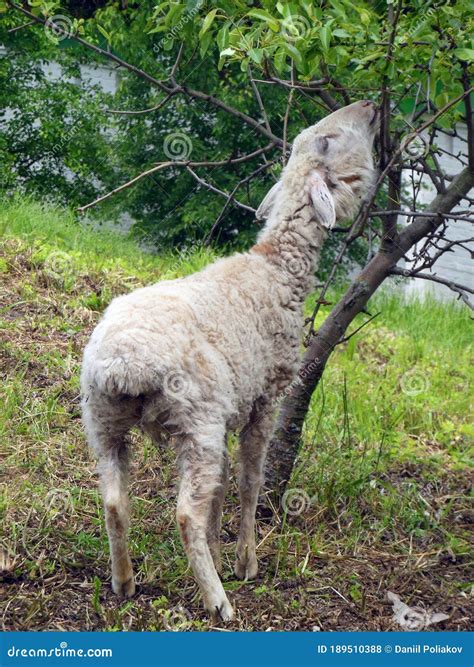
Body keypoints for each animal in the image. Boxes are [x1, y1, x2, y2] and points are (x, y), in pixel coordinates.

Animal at [81, 100, 379, 622]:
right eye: (330, 139)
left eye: (316, 138)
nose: (371, 106)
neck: (276, 267)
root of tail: (121, 365)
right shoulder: (266, 397)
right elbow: (248, 481)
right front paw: (244, 563)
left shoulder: (229, 409)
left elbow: (221, 490)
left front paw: (222, 553)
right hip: (195, 417)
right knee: (184, 514)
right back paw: (217, 601)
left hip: (103, 419)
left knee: (115, 501)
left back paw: (124, 581)